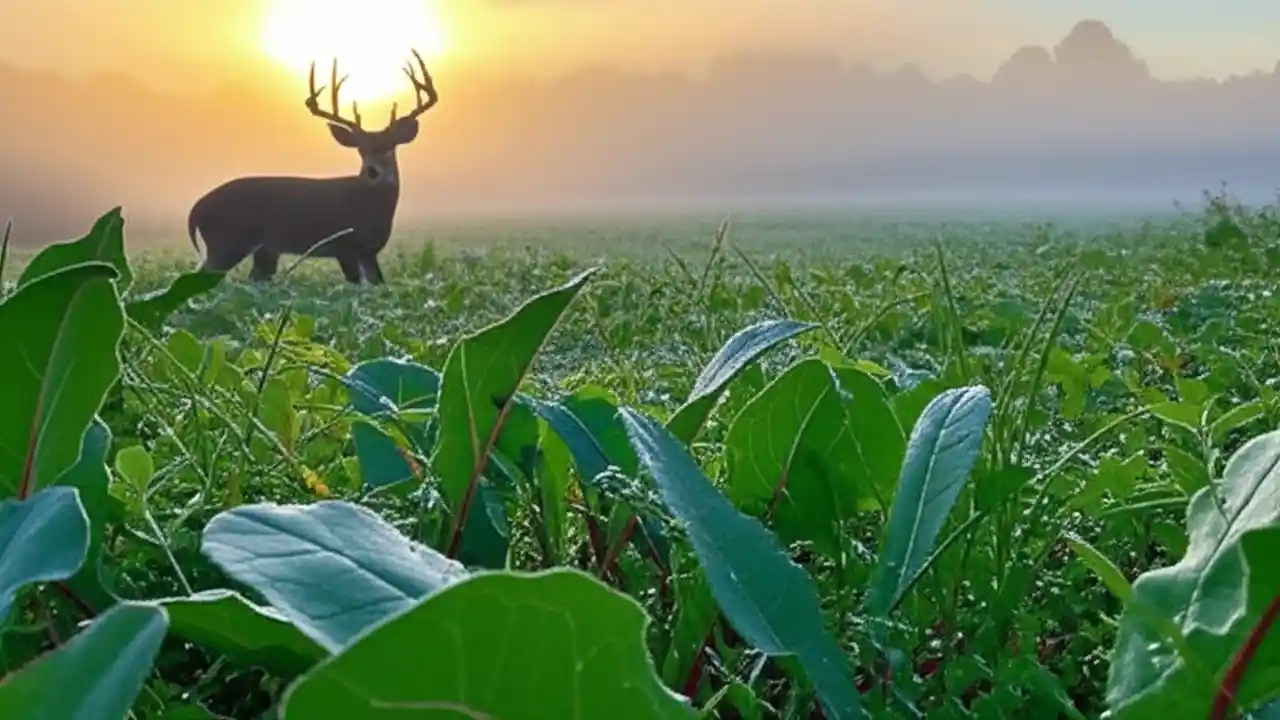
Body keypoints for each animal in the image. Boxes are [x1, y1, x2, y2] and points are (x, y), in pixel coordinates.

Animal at [186, 50, 438, 284]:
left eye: (389, 147)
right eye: (361, 149)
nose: (373, 171)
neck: (371, 206)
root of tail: (197, 209)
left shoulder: (368, 252)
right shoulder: (344, 245)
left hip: (260, 249)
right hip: (229, 240)